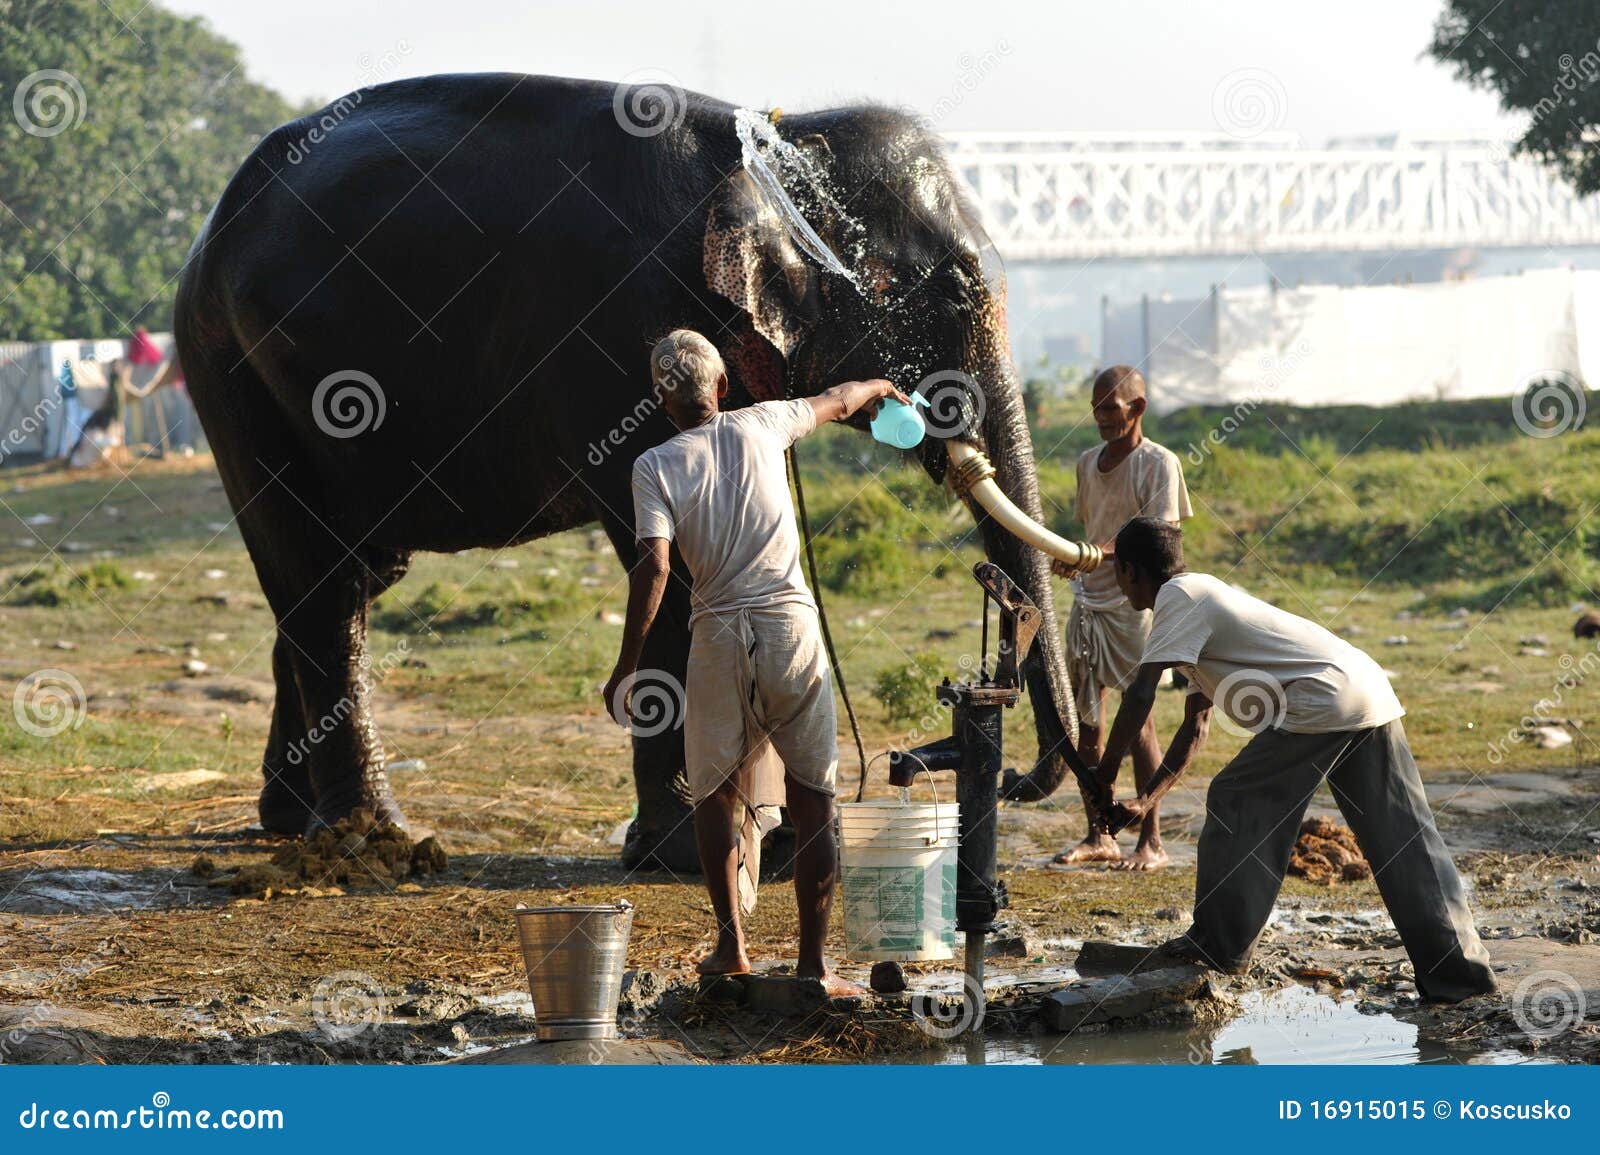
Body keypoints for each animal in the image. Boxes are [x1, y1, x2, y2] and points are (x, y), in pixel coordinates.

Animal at [174, 72, 1090, 870]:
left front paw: (755, 843)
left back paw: (289, 820)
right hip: (232, 372)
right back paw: (373, 838)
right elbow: (668, 569)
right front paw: (688, 852)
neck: (776, 142)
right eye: (953, 295)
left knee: (351, 575)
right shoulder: (622, 349)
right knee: (320, 582)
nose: (1013, 775)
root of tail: (211, 229)